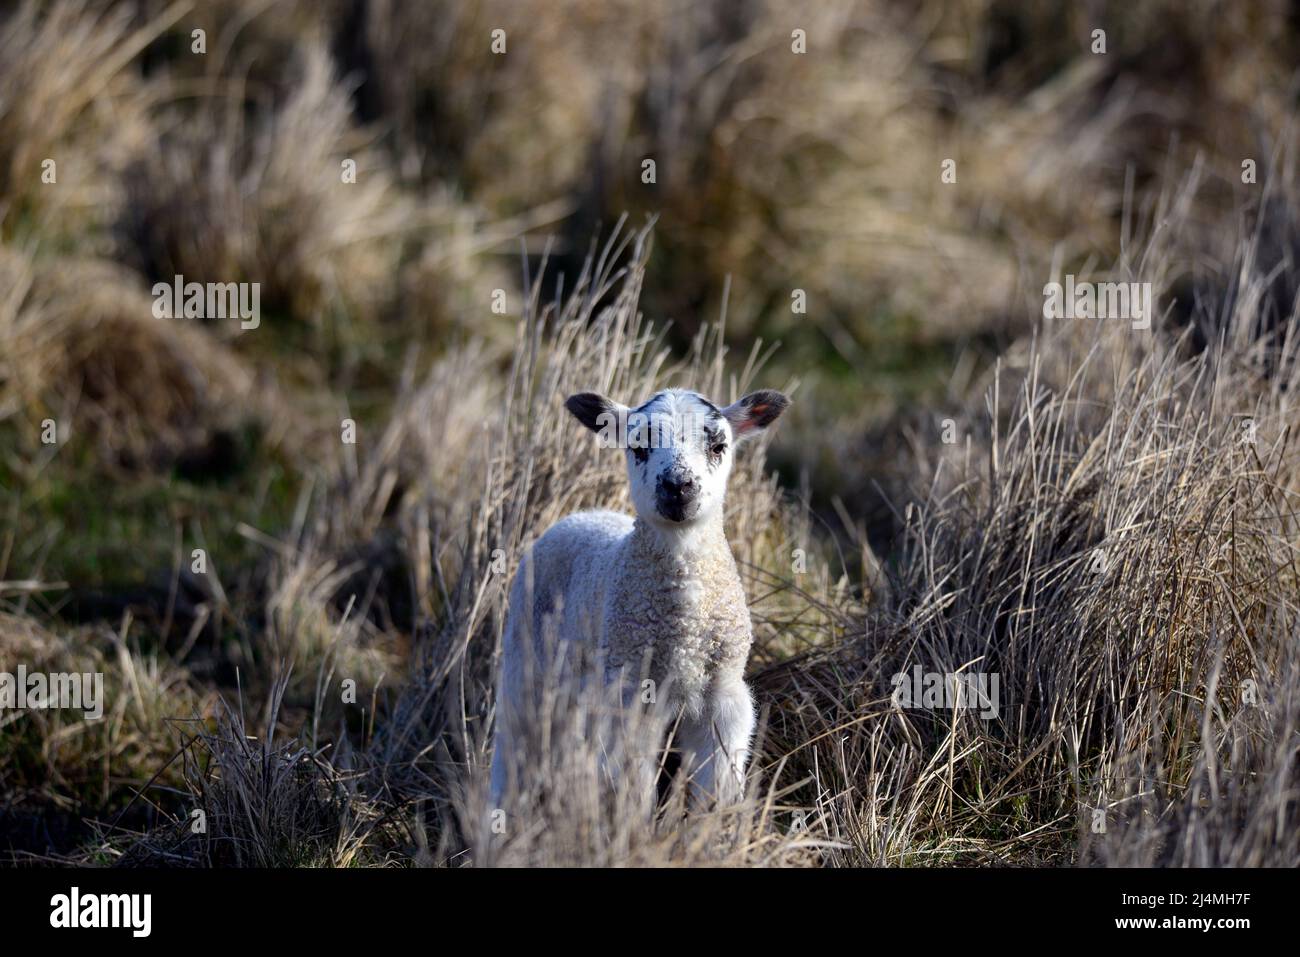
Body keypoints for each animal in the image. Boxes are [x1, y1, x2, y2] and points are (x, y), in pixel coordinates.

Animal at [488, 387, 789, 809]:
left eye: (719, 446)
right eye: (638, 445)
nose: (678, 486)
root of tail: (581, 514)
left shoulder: (725, 695)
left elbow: (717, 785)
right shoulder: (629, 694)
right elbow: (631, 787)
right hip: (525, 658)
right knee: (512, 744)